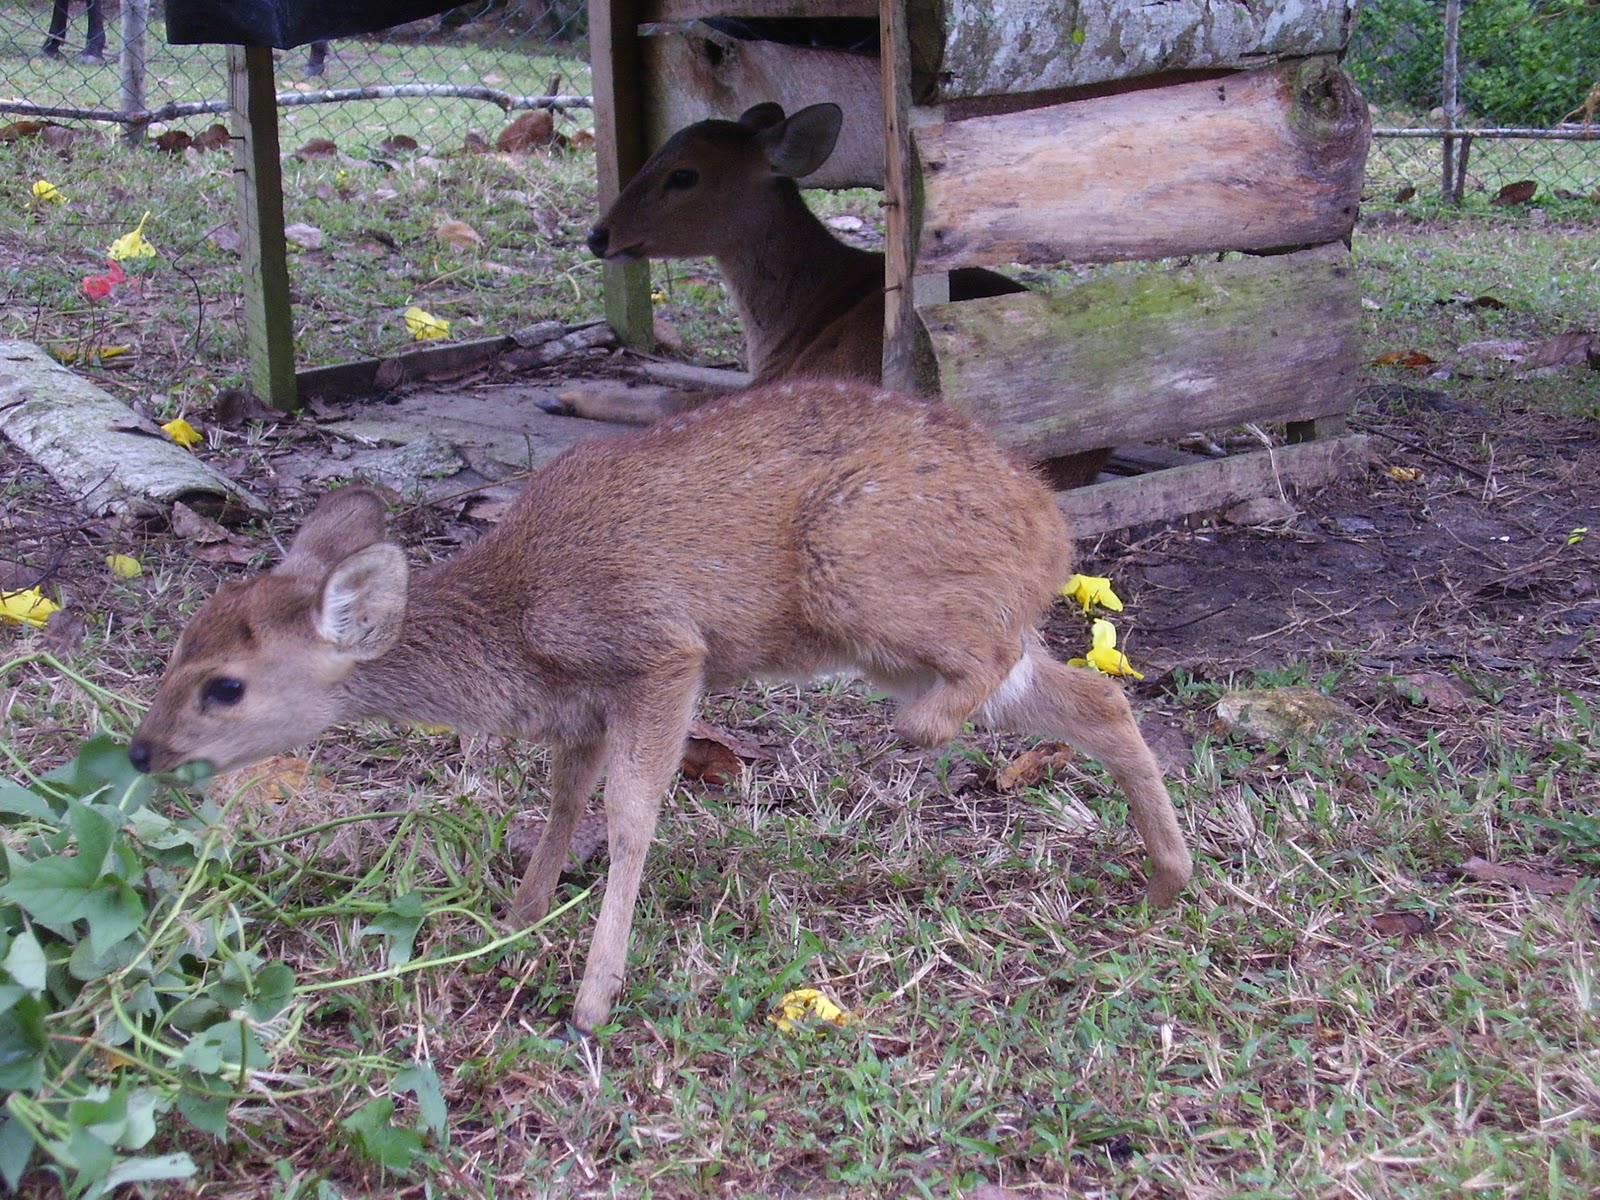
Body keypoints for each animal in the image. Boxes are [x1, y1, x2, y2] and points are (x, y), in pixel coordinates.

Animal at [128, 380, 1191, 1033]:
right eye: (174, 647)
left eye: (226, 687)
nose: (142, 752)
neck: (519, 628)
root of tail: (1051, 525)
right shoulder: (582, 709)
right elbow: (563, 803)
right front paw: (515, 917)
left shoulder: (661, 655)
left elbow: (632, 817)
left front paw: (591, 1000)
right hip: (937, 631)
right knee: (1095, 695)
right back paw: (1165, 881)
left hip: (867, 583)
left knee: (984, 679)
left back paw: (934, 739)